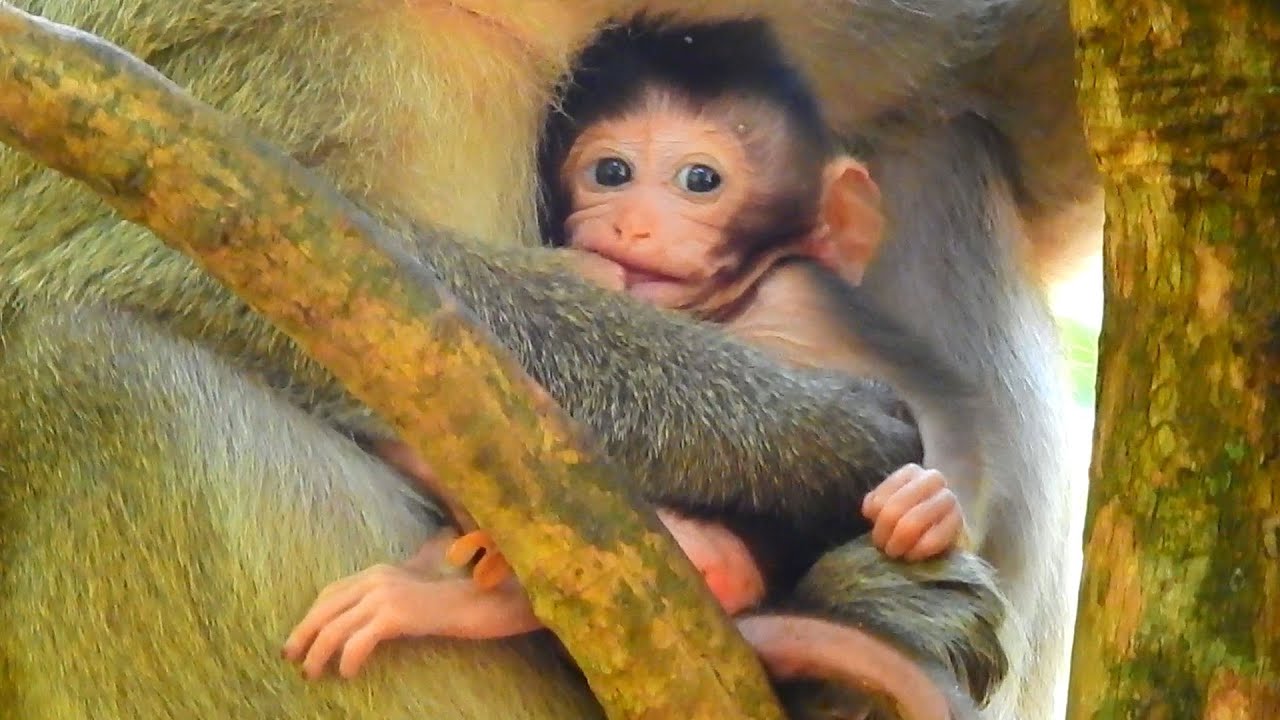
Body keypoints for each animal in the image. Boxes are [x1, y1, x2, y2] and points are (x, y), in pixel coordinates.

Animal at [0, 3, 1092, 720]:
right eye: (610, 171)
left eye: (702, 179)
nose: (638, 226)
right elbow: (123, 237)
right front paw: (804, 437)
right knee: (87, 370)